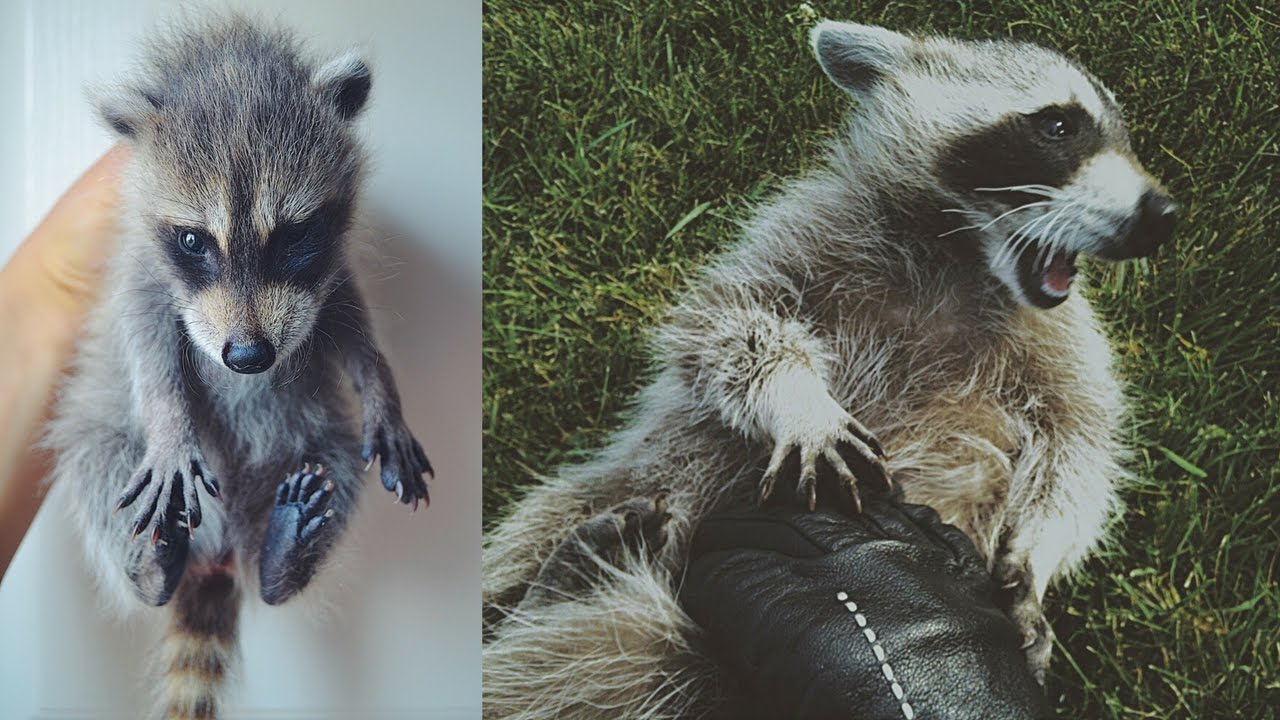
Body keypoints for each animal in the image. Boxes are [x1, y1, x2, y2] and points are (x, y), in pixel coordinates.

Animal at [43, 16, 432, 720]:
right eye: (194, 240)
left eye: (294, 235)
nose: (249, 357)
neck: (229, 60)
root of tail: (222, 552)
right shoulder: (140, 270)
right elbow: (147, 345)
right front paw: (171, 423)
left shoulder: (326, 280)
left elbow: (350, 329)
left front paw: (382, 389)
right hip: (110, 447)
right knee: (96, 455)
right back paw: (150, 565)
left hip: (308, 449)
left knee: (333, 464)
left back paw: (284, 556)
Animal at [483, 21, 1175, 718]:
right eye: (1057, 125)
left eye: (1125, 137)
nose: (1162, 216)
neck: (965, 256)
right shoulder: (805, 235)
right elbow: (726, 326)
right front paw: (796, 399)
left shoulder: (1061, 341)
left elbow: (1078, 445)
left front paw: (1036, 555)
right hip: (630, 487)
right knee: (533, 536)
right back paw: (544, 584)